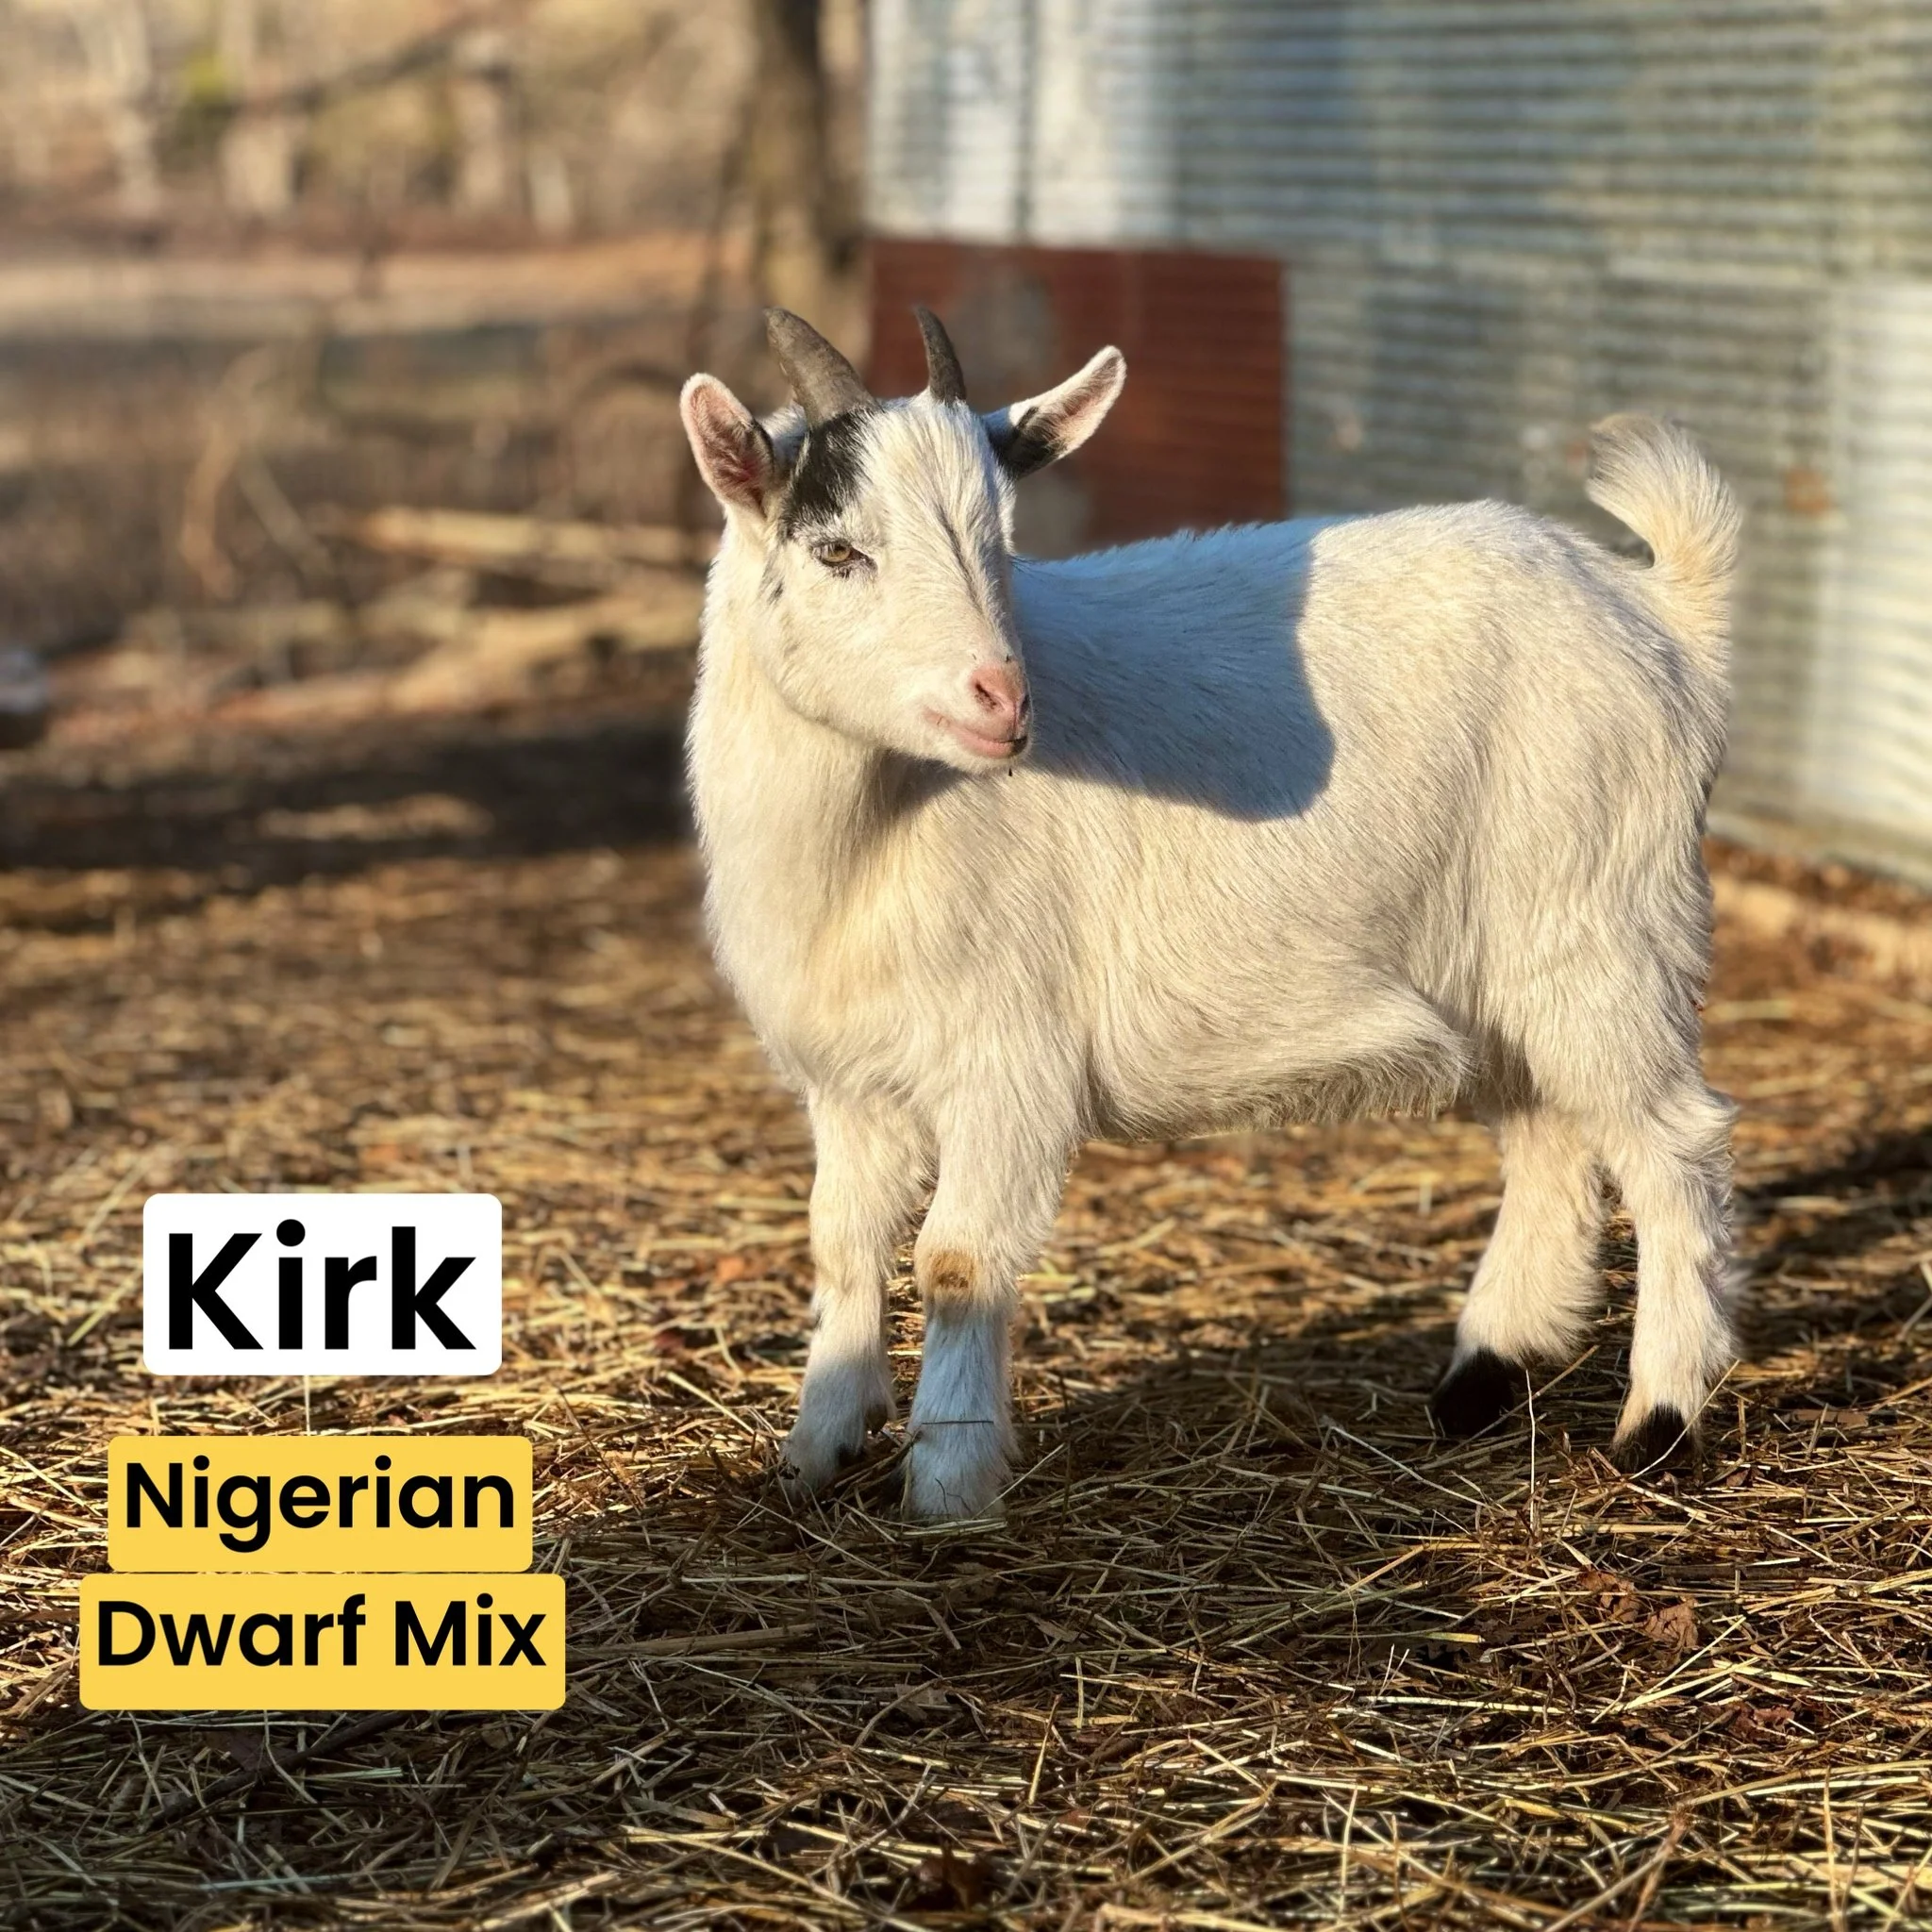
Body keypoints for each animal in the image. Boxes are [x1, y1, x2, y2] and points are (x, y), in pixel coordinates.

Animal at [679, 307, 1741, 1520]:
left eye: (1000, 543)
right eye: (837, 550)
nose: (1001, 701)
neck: (875, 824)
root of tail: (1661, 613)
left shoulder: (1005, 1062)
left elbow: (955, 1259)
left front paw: (946, 1484)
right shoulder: (848, 1079)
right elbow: (840, 1246)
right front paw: (813, 1449)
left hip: (1601, 921)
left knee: (1669, 1145)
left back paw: (1658, 1421)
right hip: (1506, 964)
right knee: (1549, 1140)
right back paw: (1481, 1379)